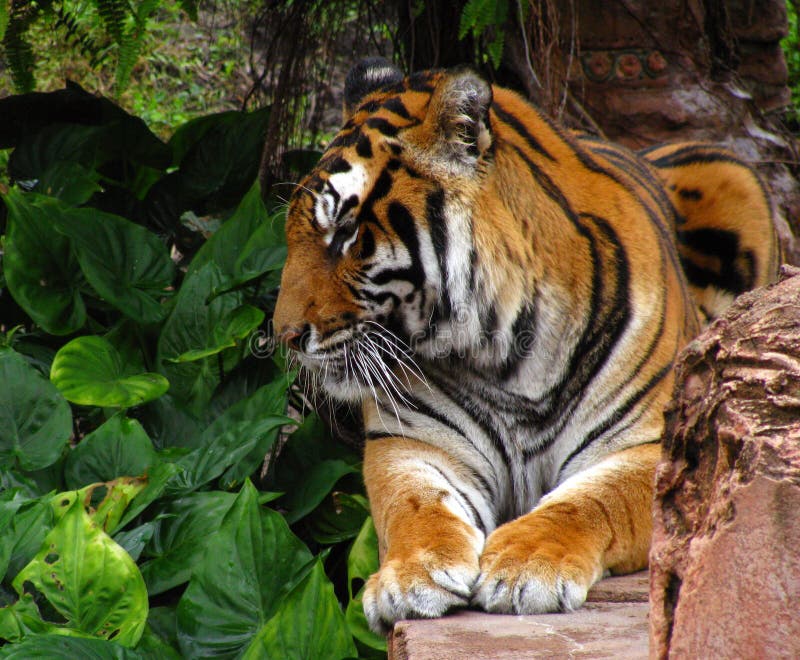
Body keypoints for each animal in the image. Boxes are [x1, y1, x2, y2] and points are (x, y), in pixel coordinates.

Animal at [272, 57, 778, 633]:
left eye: (346, 232)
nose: (283, 334)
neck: (503, 352)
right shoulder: (414, 442)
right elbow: (413, 504)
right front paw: (412, 576)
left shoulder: (652, 444)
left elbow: (591, 501)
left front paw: (526, 564)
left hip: (732, 175)